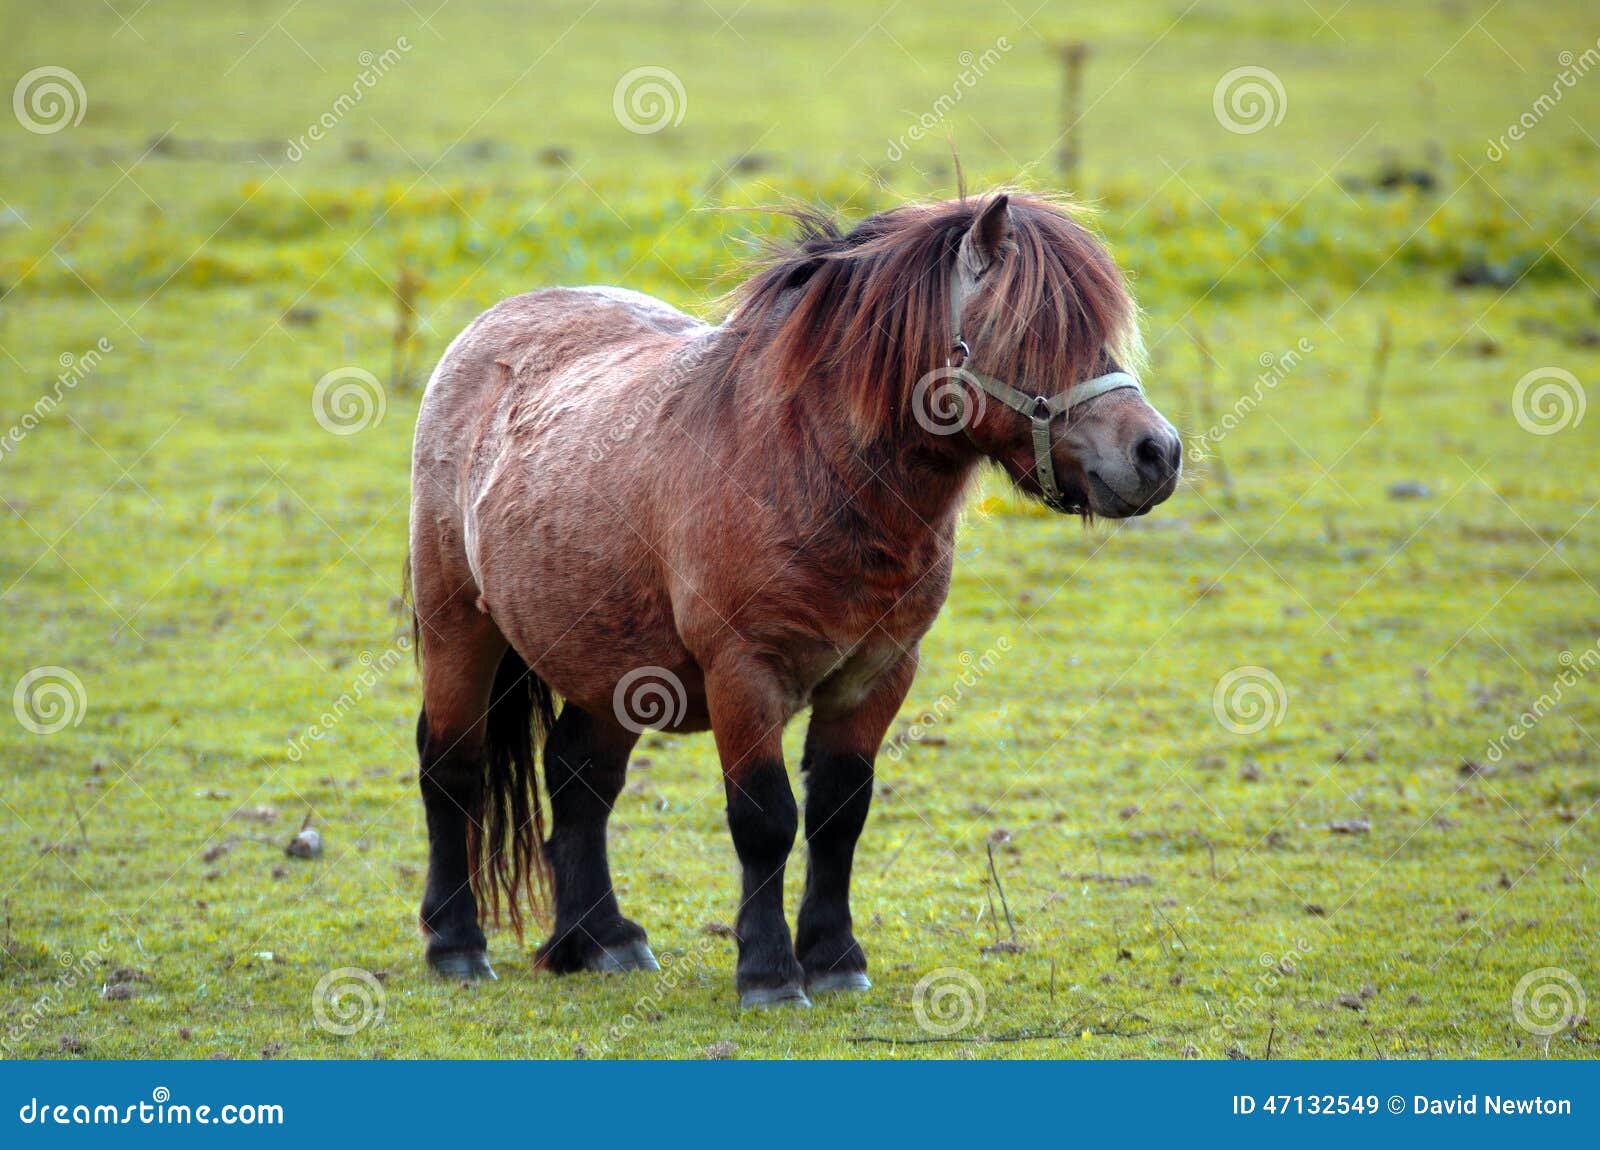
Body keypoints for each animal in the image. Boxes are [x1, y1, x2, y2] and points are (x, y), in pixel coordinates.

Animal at [406, 191, 1181, 1006]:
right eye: (1032, 333)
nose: (1156, 453)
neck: (805, 466)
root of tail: (493, 325)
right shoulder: (745, 675)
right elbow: (765, 819)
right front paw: (771, 972)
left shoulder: (878, 674)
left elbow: (840, 814)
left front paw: (834, 957)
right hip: (461, 629)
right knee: (451, 766)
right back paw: (456, 945)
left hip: (617, 666)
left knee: (580, 780)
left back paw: (603, 939)